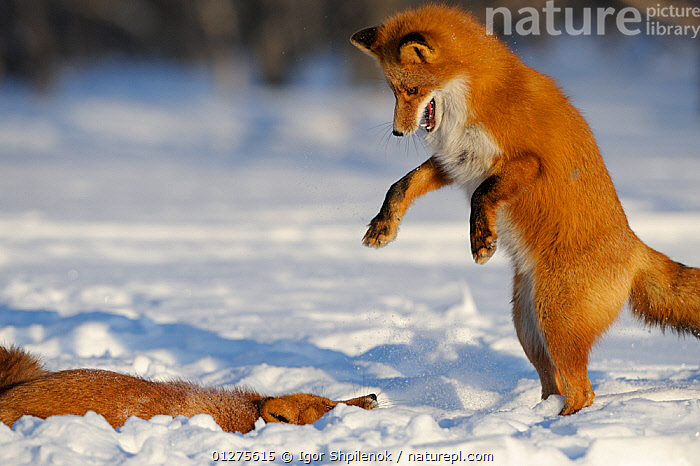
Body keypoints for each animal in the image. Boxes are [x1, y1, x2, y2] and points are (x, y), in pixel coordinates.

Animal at [351, 4, 700, 415]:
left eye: (412, 90)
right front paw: (383, 226)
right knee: (556, 385)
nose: (398, 133)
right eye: (393, 91)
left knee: (583, 392)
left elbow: (481, 195)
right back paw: (535, 416)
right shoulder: (457, 160)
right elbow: (403, 184)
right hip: (528, 327)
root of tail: (634, 245)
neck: (478, 95)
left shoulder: (526, 161)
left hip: (556, 322)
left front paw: (481, 239)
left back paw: (559, 425)